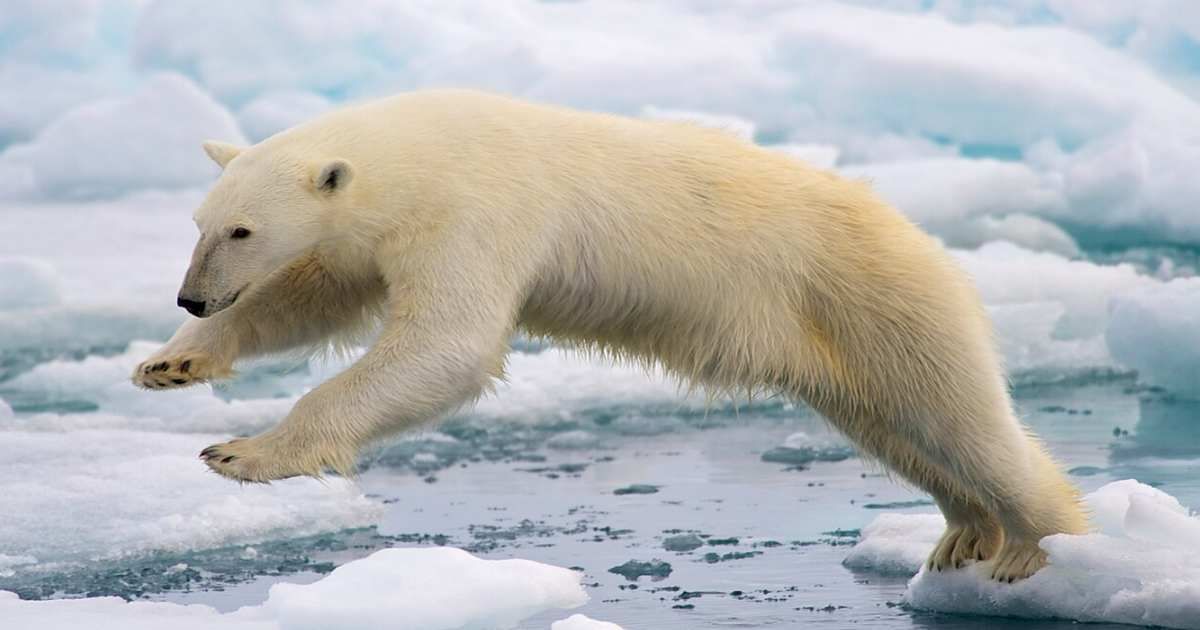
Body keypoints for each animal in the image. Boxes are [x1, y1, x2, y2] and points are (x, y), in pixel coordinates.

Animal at [132, 89, 1087, 582]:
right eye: (200, 223)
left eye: (242, 230)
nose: (191, 297)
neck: (423, 150)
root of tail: (921, 237)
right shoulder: (378, 235)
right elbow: (316, 296)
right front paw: (171, 364)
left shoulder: (478, 212)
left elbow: (447, 344)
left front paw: (243, 452)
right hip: (838, 341)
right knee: (900, 428)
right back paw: (965, 533)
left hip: (874, 297)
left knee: (959, 418)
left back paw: (1032, 546)